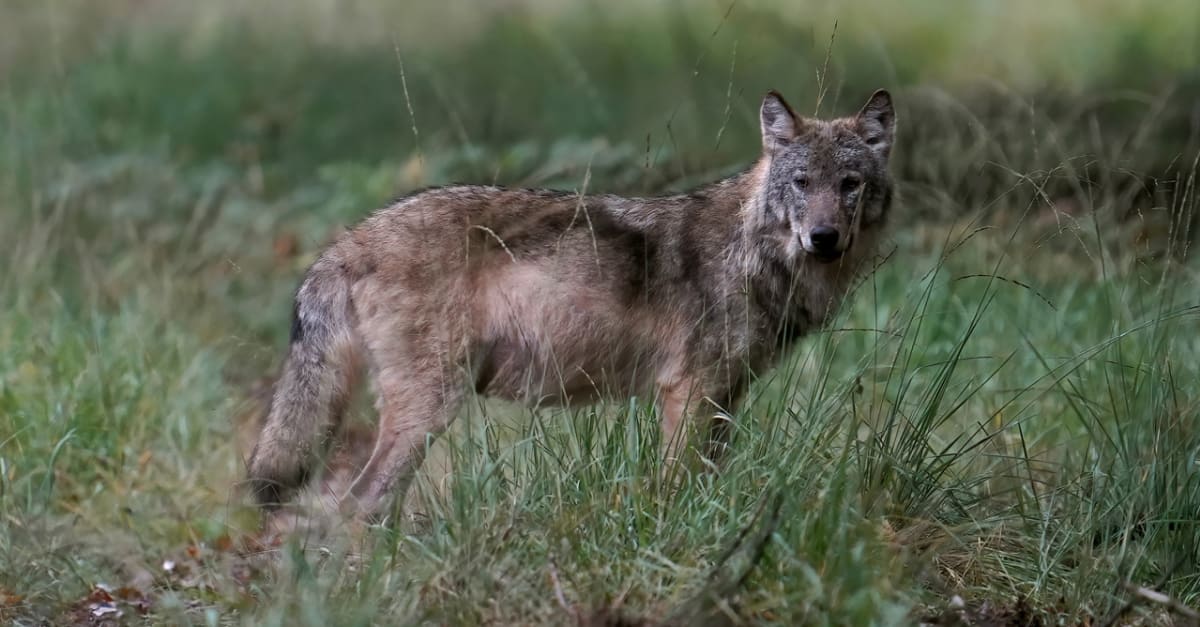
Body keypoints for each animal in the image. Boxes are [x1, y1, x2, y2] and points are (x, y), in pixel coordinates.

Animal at [247, 89, 897, 520]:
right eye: (802, 183)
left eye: (849, 185)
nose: (824, 238)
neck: (754, 253)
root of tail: (350, 238)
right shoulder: (688, 392)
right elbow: (675, 487)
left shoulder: (725, 397)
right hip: (429, 409)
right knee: (359, 505)